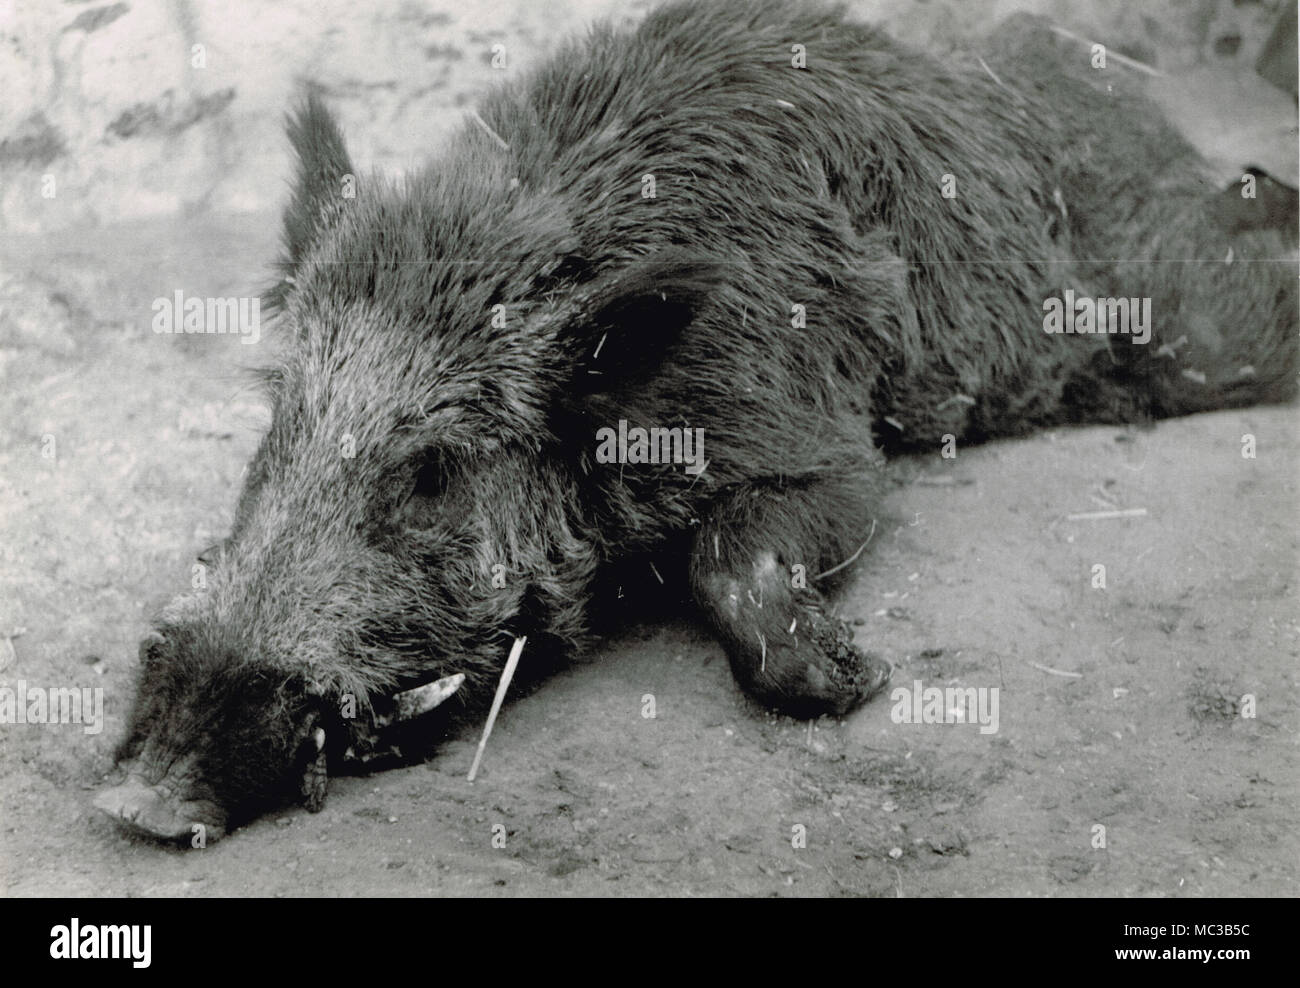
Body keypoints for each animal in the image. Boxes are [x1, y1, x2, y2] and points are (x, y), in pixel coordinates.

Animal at [96, 0, 1297, 842]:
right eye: (279, 418)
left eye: (432, 469)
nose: (135, 805)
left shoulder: (822, 446)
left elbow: (733, 552)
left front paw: (854, 685)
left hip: (1176, 327)